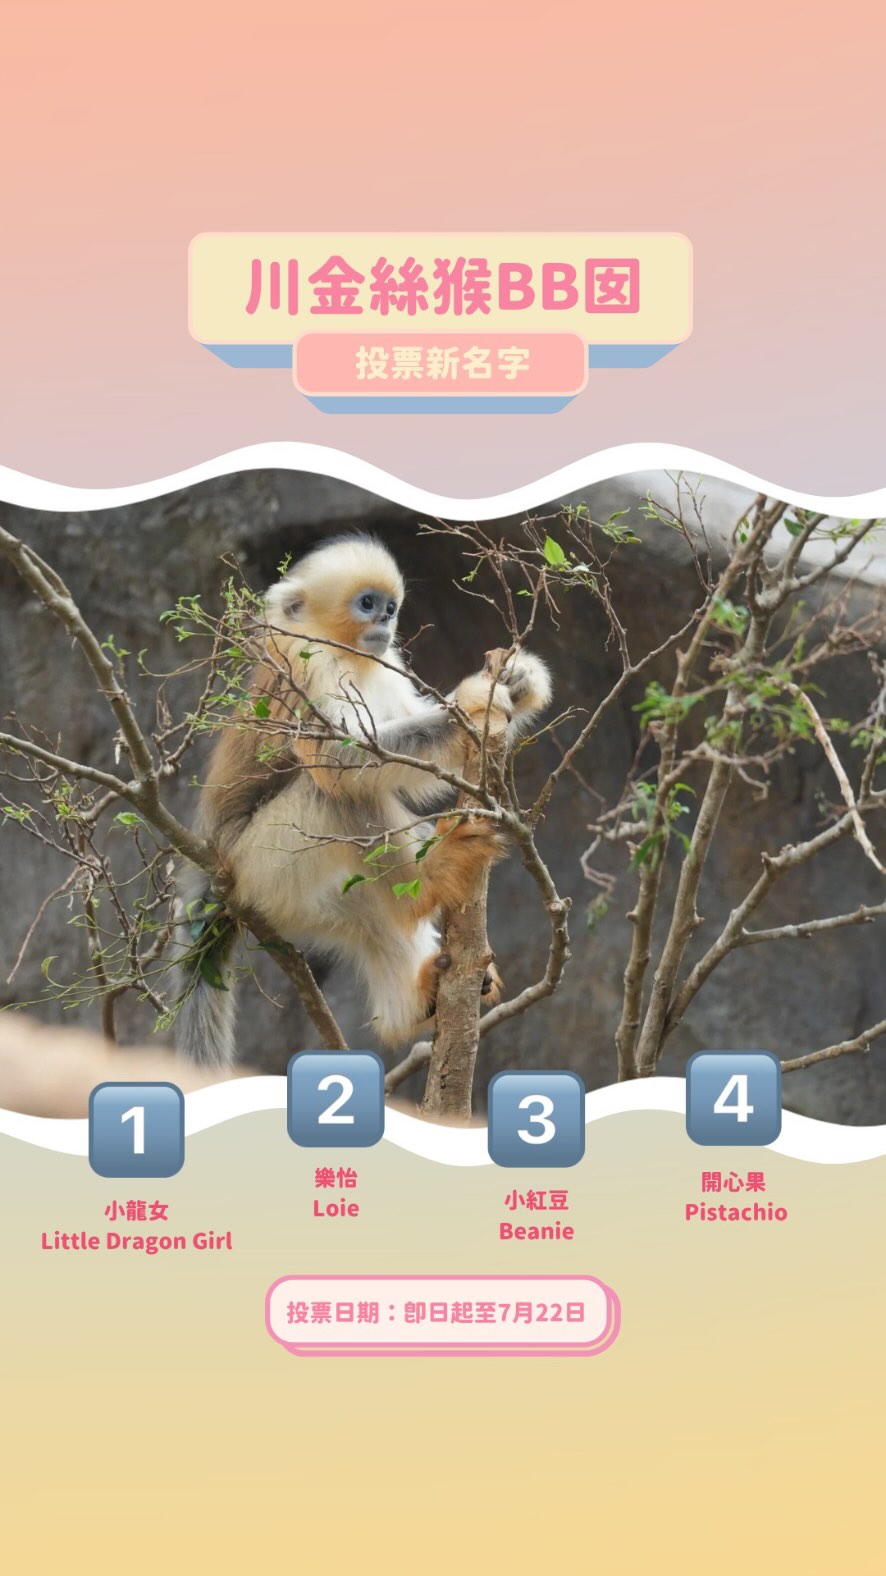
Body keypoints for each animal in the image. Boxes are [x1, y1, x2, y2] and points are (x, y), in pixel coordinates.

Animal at [174, 534, 552, 1065]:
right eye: (367, 604)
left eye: (392, 607)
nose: (386, 622)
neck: (349, 654)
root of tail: (215, 867)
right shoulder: (309, 662)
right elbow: (338, 758)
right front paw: (475, 699)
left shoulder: (386, 667)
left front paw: (520, 681)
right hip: (262, 866)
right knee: (335, 794)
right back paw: (434, 872)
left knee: (375, 912)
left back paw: (417, 1001)